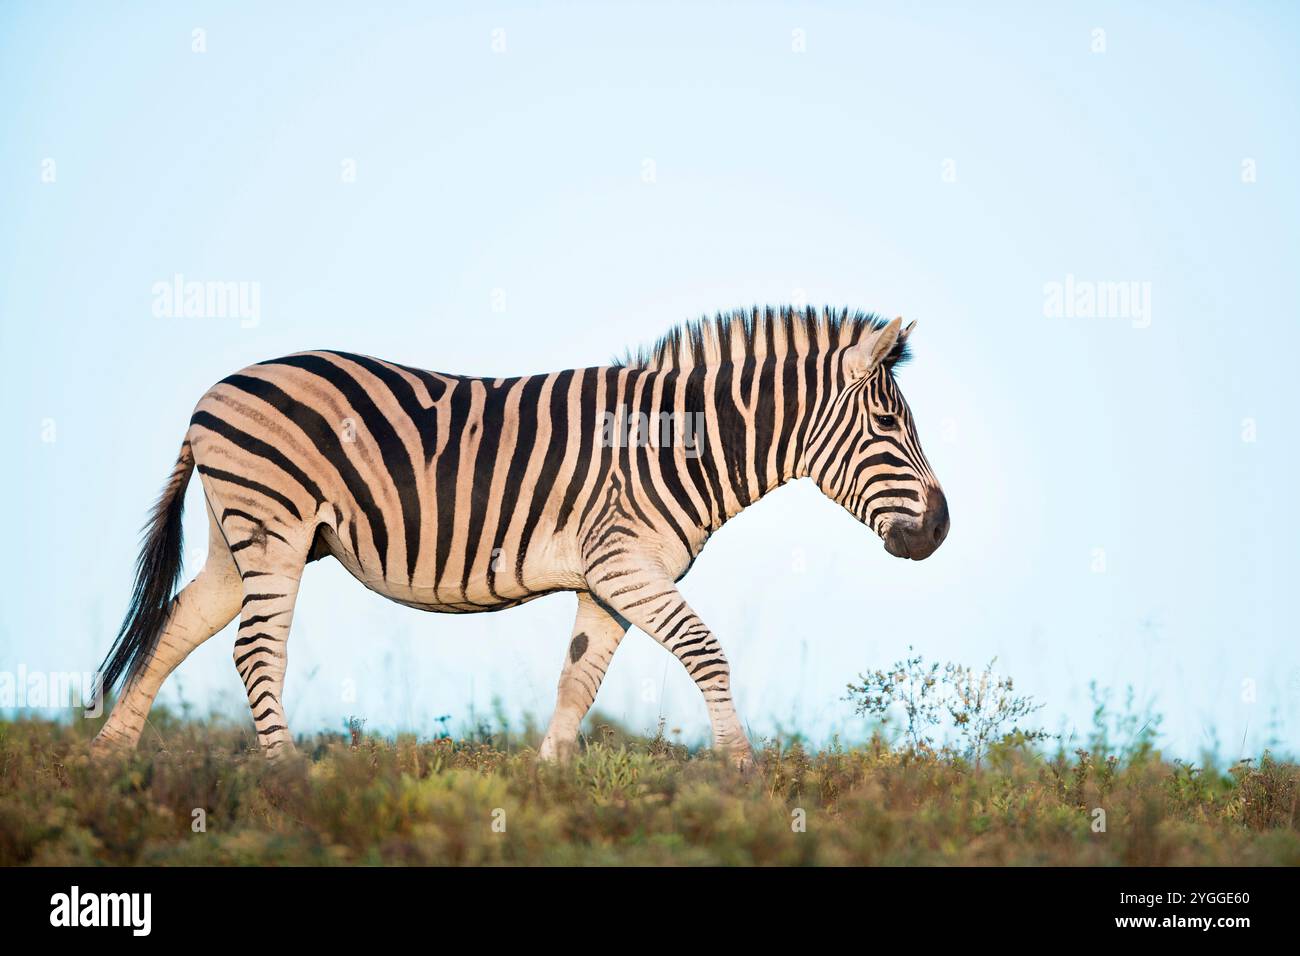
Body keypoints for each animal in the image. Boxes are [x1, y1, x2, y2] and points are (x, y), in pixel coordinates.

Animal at [91, 306, 949, 768]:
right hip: (274, 525)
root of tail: (212, 394)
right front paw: (743, 771)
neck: (677, 444)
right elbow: (706, 652)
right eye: (888, 424)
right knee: (253, 650)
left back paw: (106, 763)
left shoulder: (608, 580)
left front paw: (551, 785)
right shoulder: (625, 561)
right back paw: (291, 778)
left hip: (240, 539)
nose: (940, 530)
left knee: (175, 626)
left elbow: (578, 680)